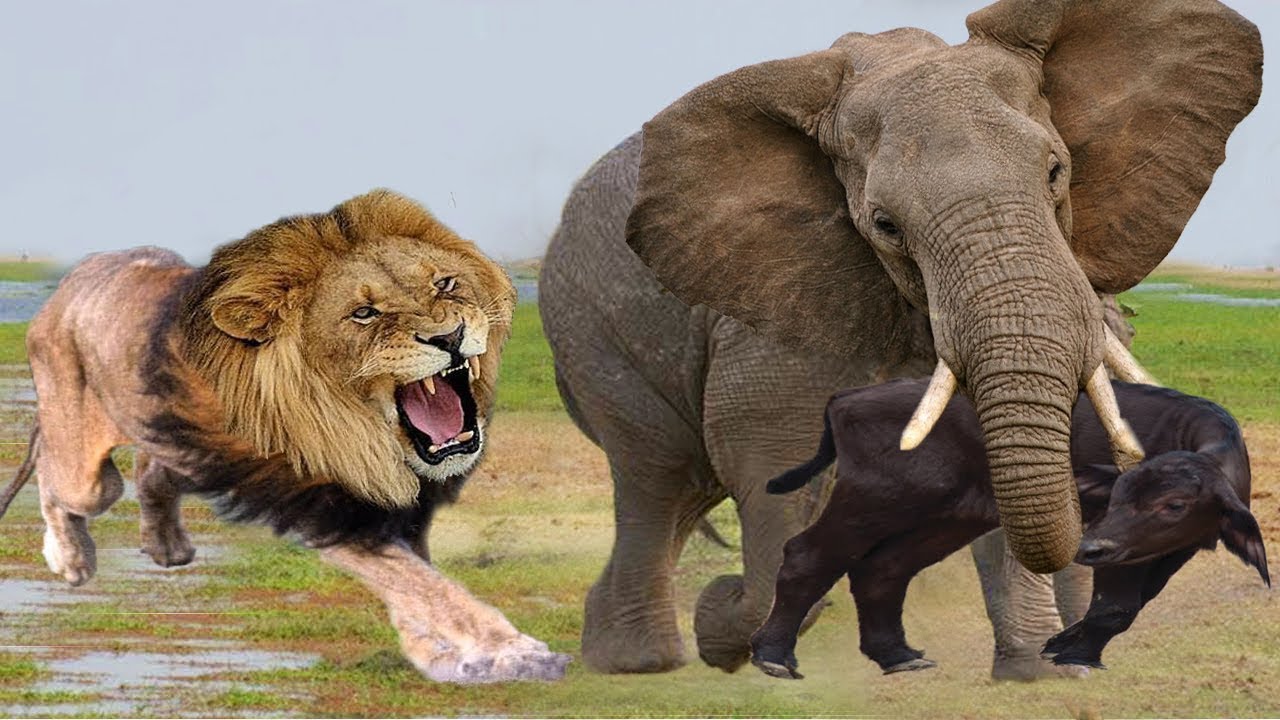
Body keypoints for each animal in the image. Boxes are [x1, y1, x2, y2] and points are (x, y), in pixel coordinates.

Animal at [0, 190, 570, 683]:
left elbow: (423, 583)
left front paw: (438, 654)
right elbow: (428, 587)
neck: (371, 438)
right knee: (61, 475)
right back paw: (70, 558)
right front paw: (512, 651)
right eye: (365, 313)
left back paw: (166, 545)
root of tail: (72, 279)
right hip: (82, 464)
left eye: (445, 284)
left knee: (153, 466)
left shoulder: (395, 507)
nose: (449, 337)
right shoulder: (327, 505)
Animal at [540, 0, 1262, 675]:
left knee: (685, 488)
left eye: (1057, 172)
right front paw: (731, 624)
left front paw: (1034, 675)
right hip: (593, 333)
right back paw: (643, 660)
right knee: (657, 477)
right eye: (884, 224)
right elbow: (766, 451)